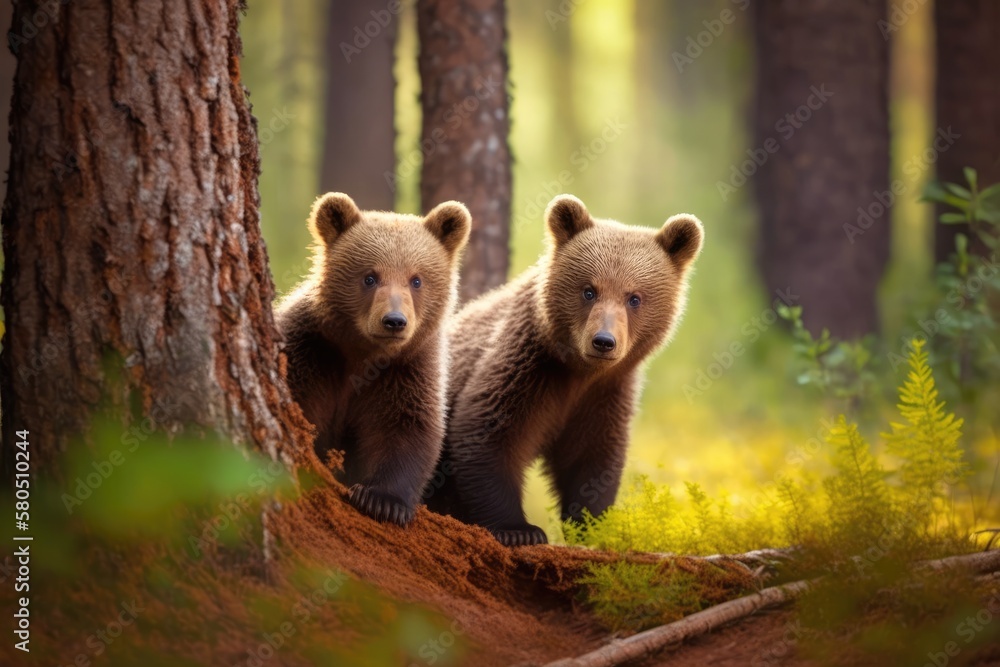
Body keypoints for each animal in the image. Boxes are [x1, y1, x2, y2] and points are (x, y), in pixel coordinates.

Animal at [277, 192, 471, 526]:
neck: (363, 355)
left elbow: (407, 427)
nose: (394, 321)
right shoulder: (310, 350)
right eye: (370, 277)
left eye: (416, 280)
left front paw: (383, 500)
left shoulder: (407, 368)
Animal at [427, 194, 704, 546]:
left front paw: (593, 525)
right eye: (589, 290)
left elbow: (591, 459)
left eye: (634, 298)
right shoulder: (525, 369)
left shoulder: (604, 394)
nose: (604, 341)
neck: (578, 372)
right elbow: (487, 435)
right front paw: (520, 529)